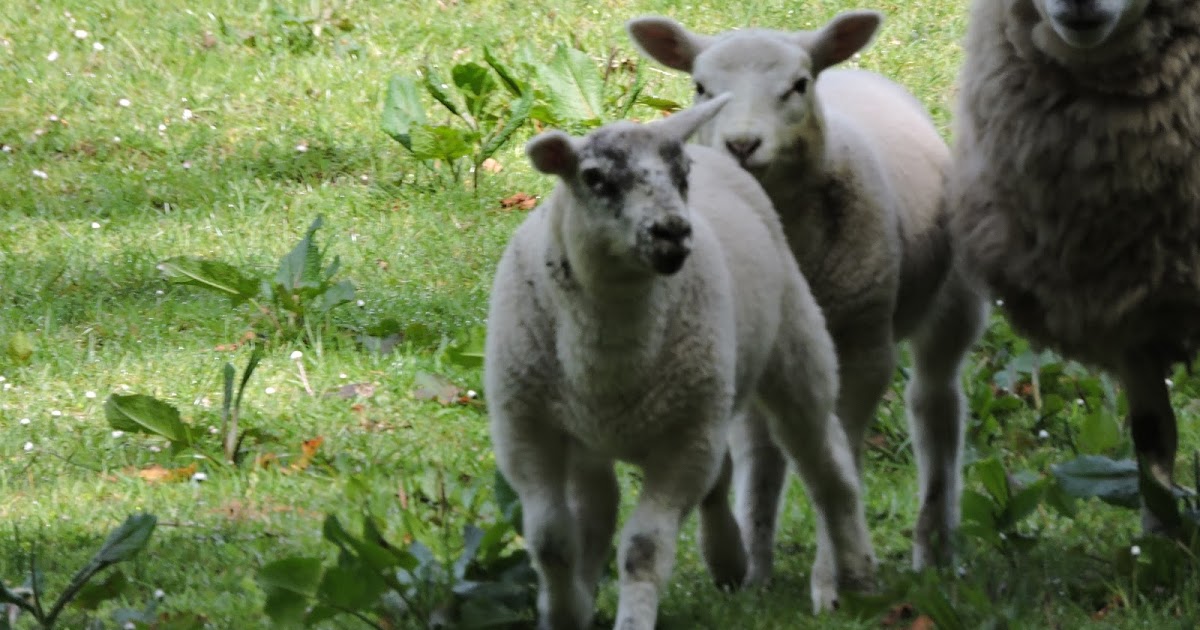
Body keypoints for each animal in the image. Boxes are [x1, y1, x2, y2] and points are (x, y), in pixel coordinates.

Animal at [483, 95, 877, 629]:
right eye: (594, 177)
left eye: (681, 174)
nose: (672, 231)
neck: (610, 359)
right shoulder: (526, 431)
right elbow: (552, 541)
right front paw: (565, 613)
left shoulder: (684, 443)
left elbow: (643, 549)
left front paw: (631, 620)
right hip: (617, 427)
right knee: (608, 505)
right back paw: (725, 563)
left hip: (792, 350)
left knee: (826, 462)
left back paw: (854, 575)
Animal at [627, 10, 989, 575]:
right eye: (700, 87)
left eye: (797, 85)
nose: (742, 144)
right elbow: (760, 456)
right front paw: (755, 565)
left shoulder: (864, 349)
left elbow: (841, 451)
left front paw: (835, 565)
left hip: (950, 301)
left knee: (936, 404)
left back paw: (933, 544)